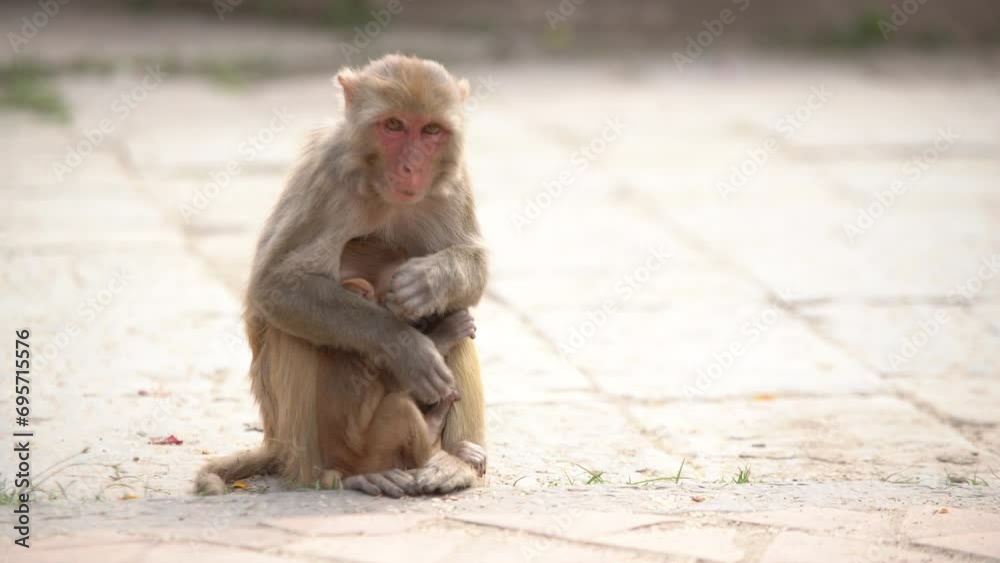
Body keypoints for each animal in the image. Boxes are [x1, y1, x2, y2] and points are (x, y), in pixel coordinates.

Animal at [196, 55, 488, 497]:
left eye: (431, 131)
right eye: (393, 125)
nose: (411, 167)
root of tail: (275, 443)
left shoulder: (454, 184)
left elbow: (477, 265)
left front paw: (428, 283)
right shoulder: (326, 178)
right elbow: (275, 286)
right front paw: (407, 347)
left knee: (458, 314)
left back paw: (452, 460)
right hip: (287, 429)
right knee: (292, 332)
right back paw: (338, 474)